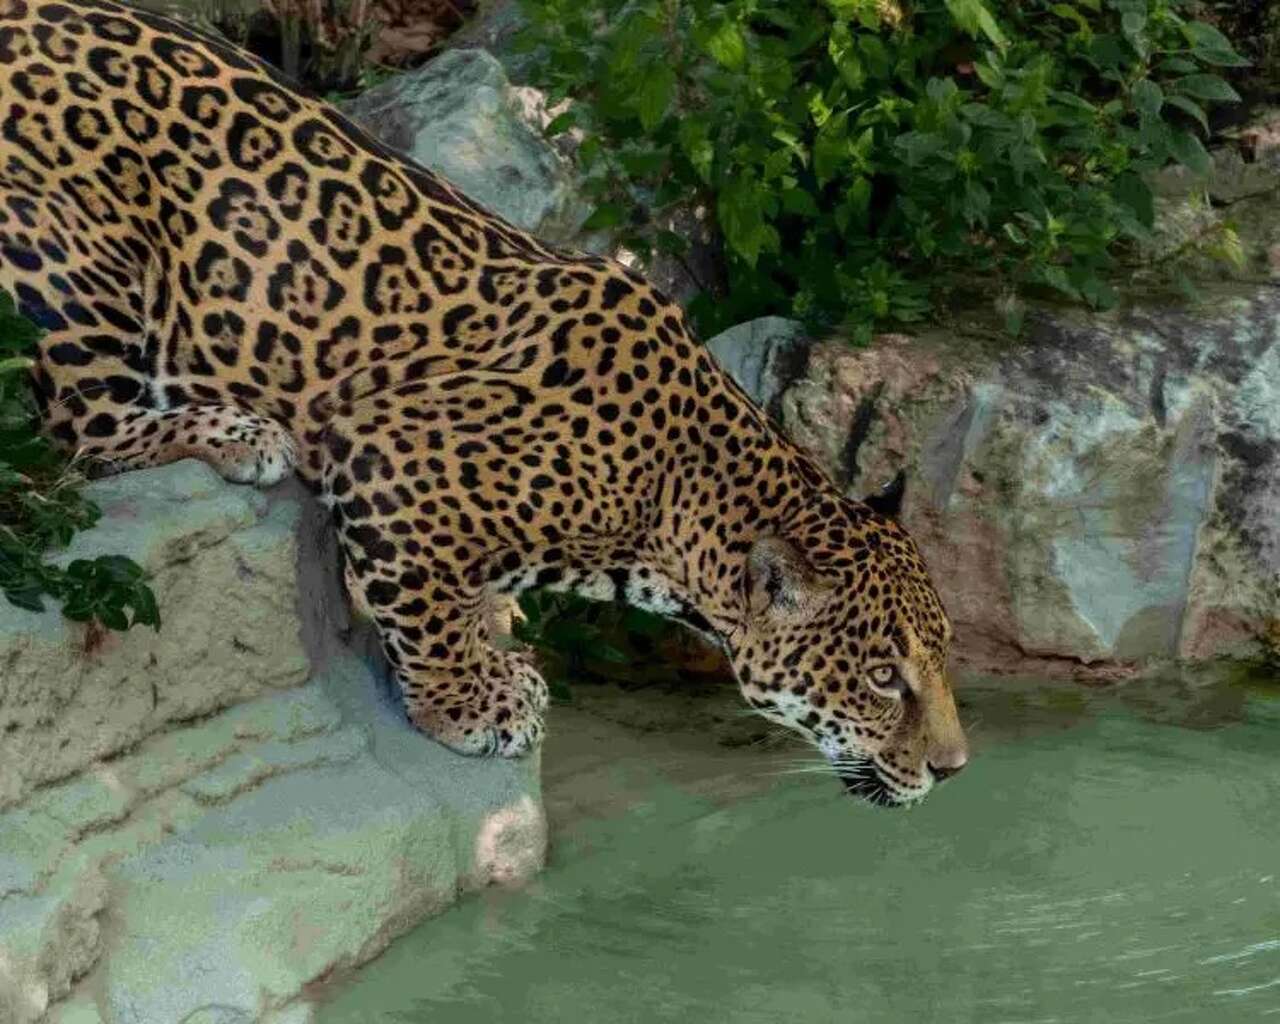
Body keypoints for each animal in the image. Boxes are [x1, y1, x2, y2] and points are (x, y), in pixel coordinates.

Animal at [0, 0, 968, 807]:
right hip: (74, 253)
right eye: (885, 678)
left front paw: (493, 636)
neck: (672, 487)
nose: (956, 768)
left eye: (944, 655)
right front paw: (471, 703)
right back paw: (235, 431)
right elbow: (426, 609)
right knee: (78, 425)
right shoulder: (389, 455)